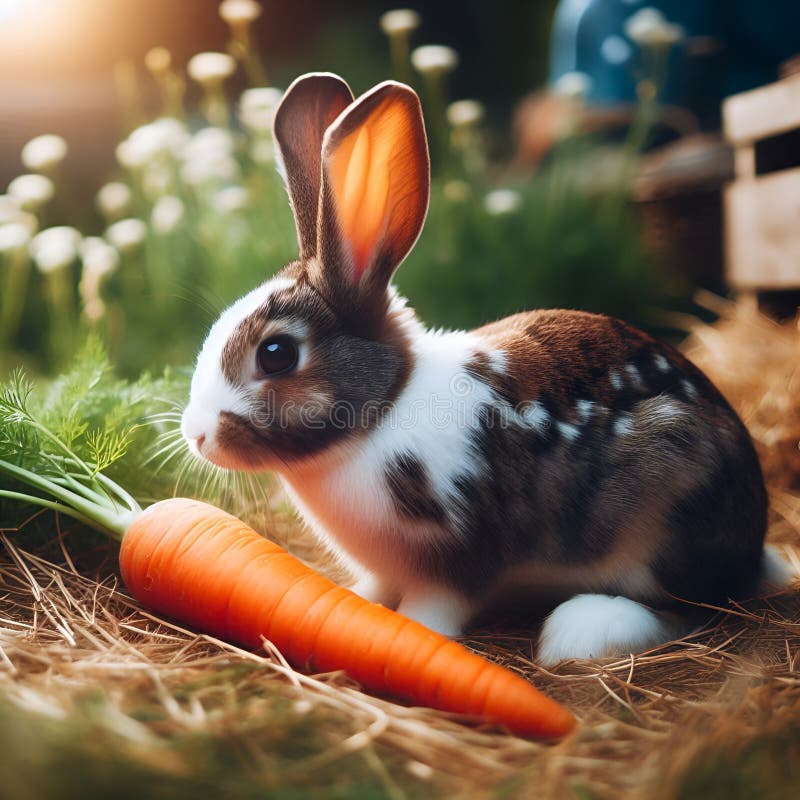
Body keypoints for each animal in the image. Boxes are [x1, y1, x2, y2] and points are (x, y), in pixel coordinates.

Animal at [181, 72, 790, 665]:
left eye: (276, 353)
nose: (196, 434)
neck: (382, 412)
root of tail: (753, 542)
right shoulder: (386, 566)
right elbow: (373, 589)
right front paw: (357, 602)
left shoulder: (458, 553)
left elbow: (439, 605)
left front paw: (414, 630)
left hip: (671, 501)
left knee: (688, 608)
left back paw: (582, 633)